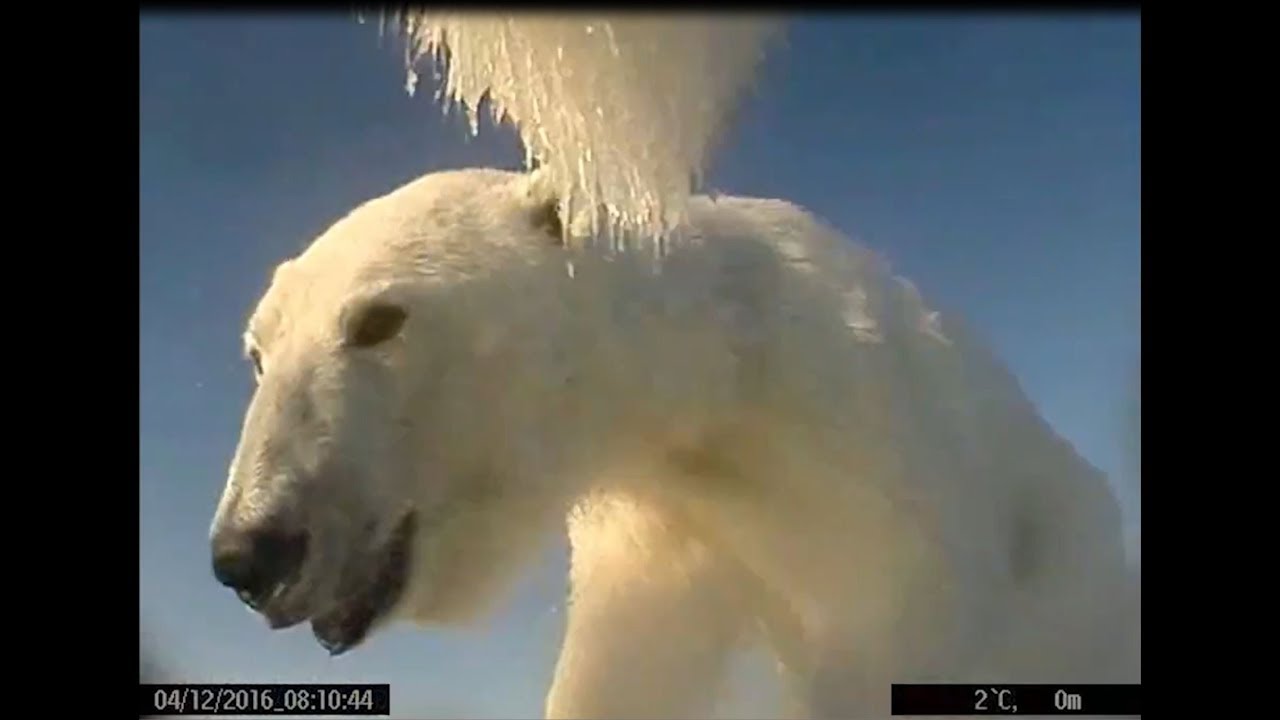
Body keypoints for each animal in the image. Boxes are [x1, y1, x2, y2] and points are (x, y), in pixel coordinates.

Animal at [208, 167, 1139, 719]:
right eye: (257, 352)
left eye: (378, 319)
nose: (248, 552)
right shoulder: (654, 531)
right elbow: (627, 667)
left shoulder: (872, 489)